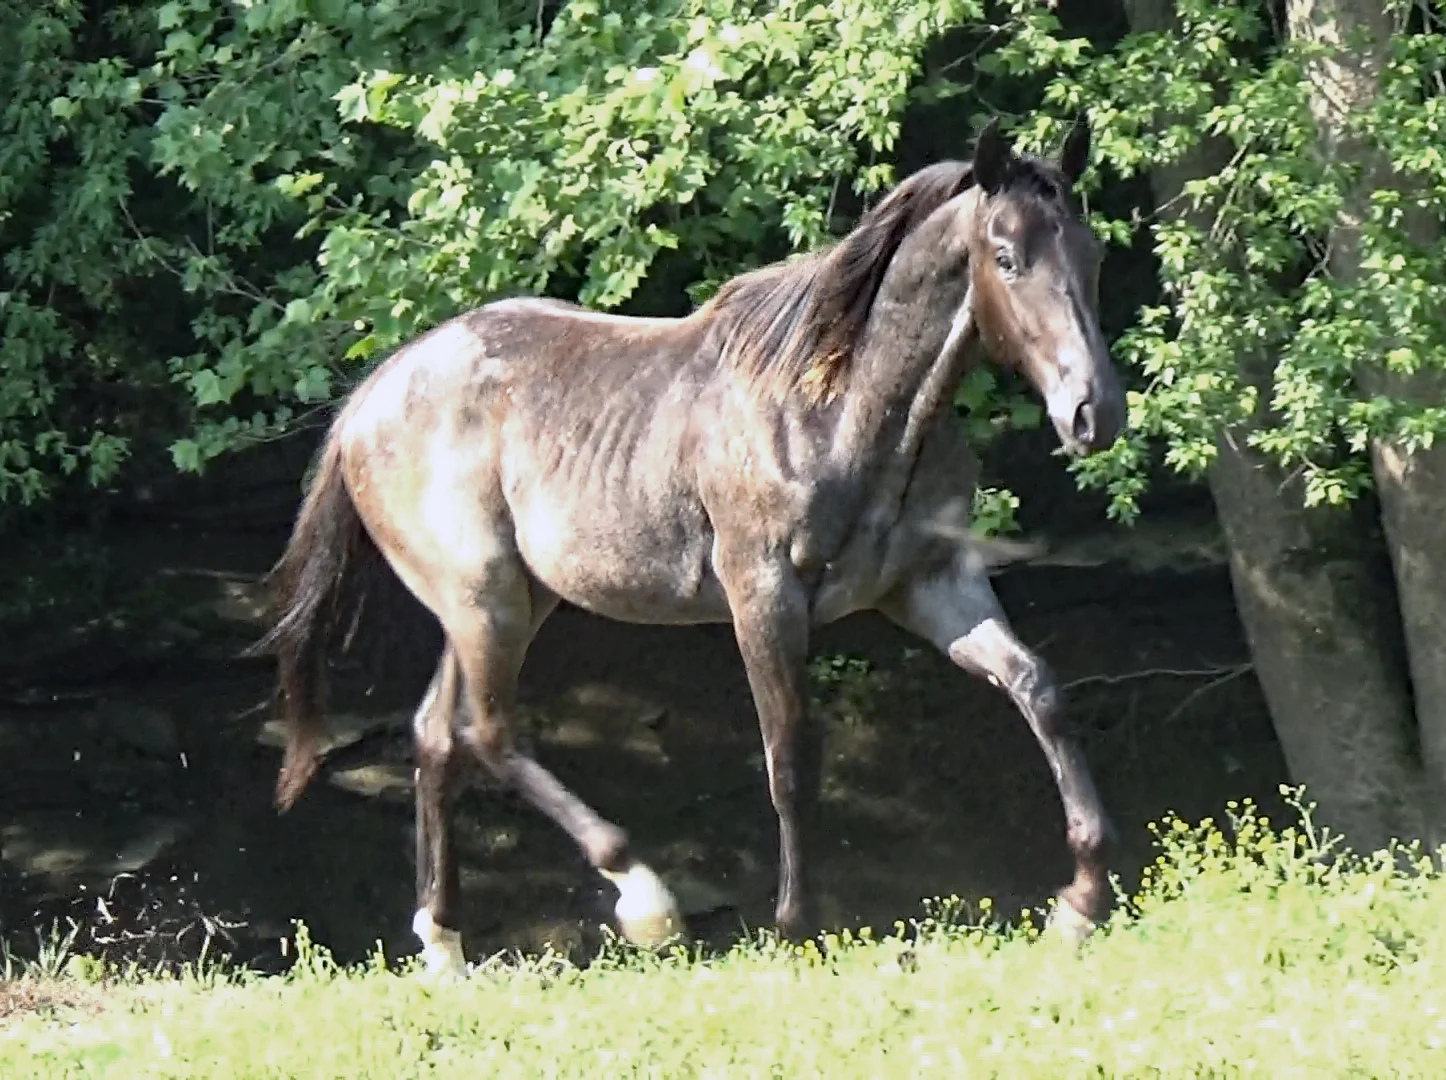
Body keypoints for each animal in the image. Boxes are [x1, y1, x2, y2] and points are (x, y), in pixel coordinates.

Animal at [249, 116, 1127, 975]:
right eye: (1007, 258)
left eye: (1092, 255)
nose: (1095, 413)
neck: (838, 409)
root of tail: (368, 400)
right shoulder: (763, 597)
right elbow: (790, 759)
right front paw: (797, 930)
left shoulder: (932, 582)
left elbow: (1040, 689)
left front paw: (1081, 904)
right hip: (483, 598)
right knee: (488, 734)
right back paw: (646, 902)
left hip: (510, 602)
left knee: (437, 734)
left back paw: (444, 944)